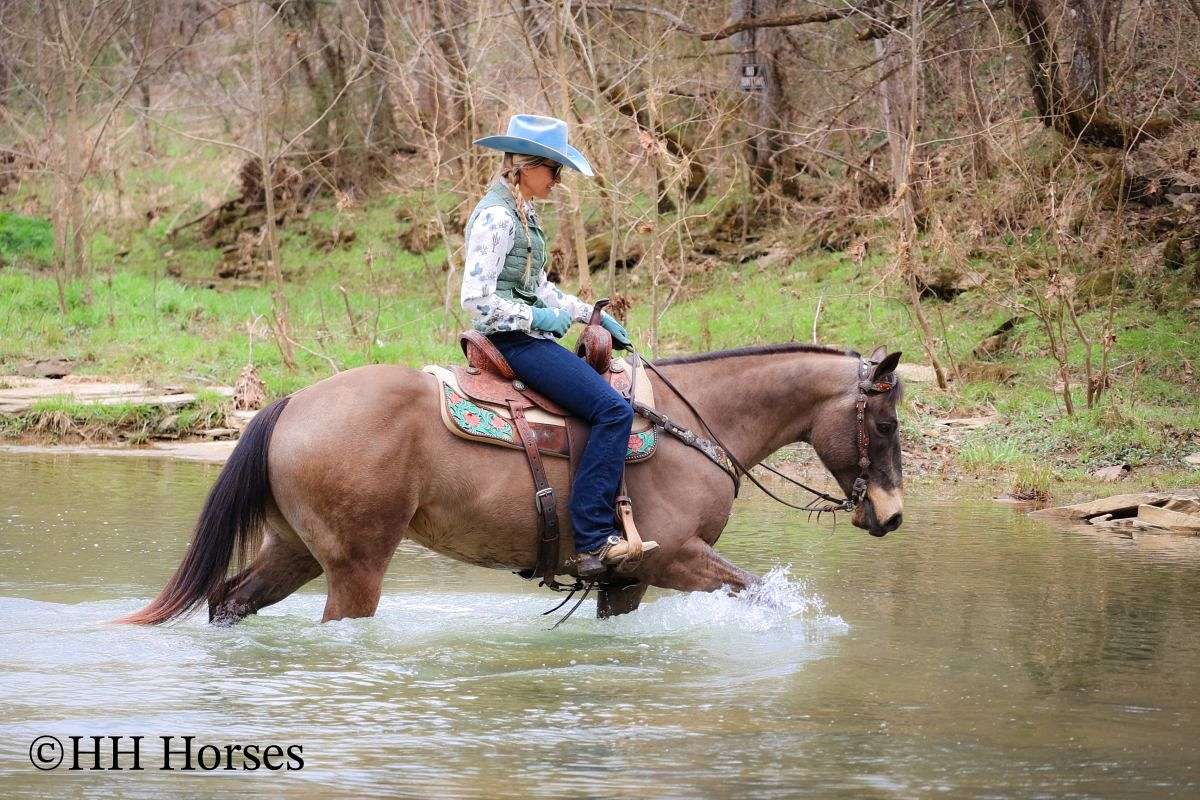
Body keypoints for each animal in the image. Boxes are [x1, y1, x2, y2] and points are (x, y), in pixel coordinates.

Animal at [118, 342, 904, 626]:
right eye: (887, 421)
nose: (892, 516)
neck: (691, 423)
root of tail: (294, 403)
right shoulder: (674, 556)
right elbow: (762, 592)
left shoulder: (627, 578)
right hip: (354, 564)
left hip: (295, 550)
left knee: (229, 600)